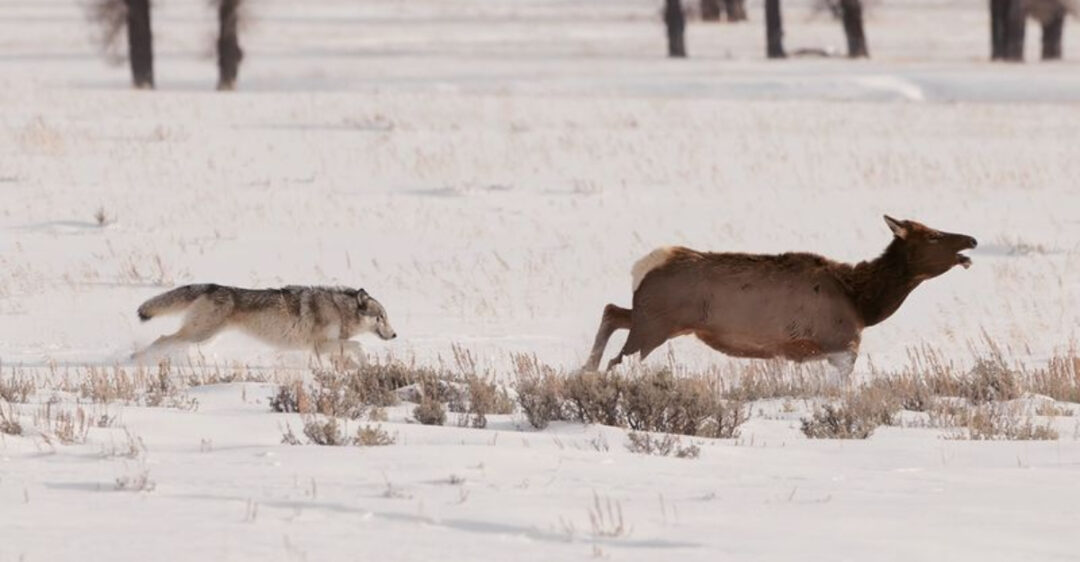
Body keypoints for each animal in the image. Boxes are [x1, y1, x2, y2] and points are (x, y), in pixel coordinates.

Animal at [132, 284, 396, 362]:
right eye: (381, 317)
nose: (395, 335)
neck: (340, 311)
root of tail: (211, 286)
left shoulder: (324, 348)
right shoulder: (320, 345)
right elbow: (359, 346)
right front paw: (365, 363)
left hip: (205, 338)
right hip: (199, 335)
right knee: (162, 339)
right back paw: (136, 358)